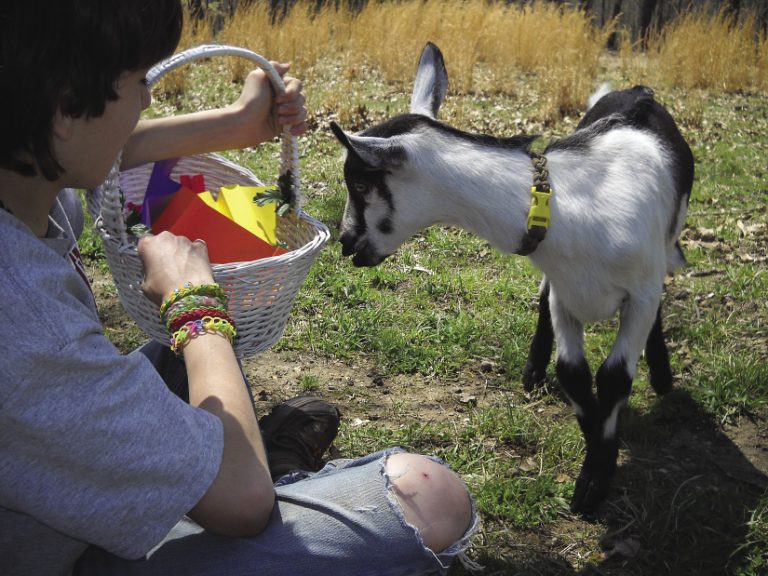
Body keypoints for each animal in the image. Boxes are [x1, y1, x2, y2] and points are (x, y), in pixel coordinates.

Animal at [330, 42, 694, 514]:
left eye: (359, 182)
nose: (346, 241)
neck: (572, 204)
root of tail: (639, 90)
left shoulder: (642, 293)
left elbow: (613, 376)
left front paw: (595, 481)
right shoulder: (564, 292)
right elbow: (572, 371)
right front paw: (593, 461)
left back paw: (663, 377)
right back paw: (533, 370)